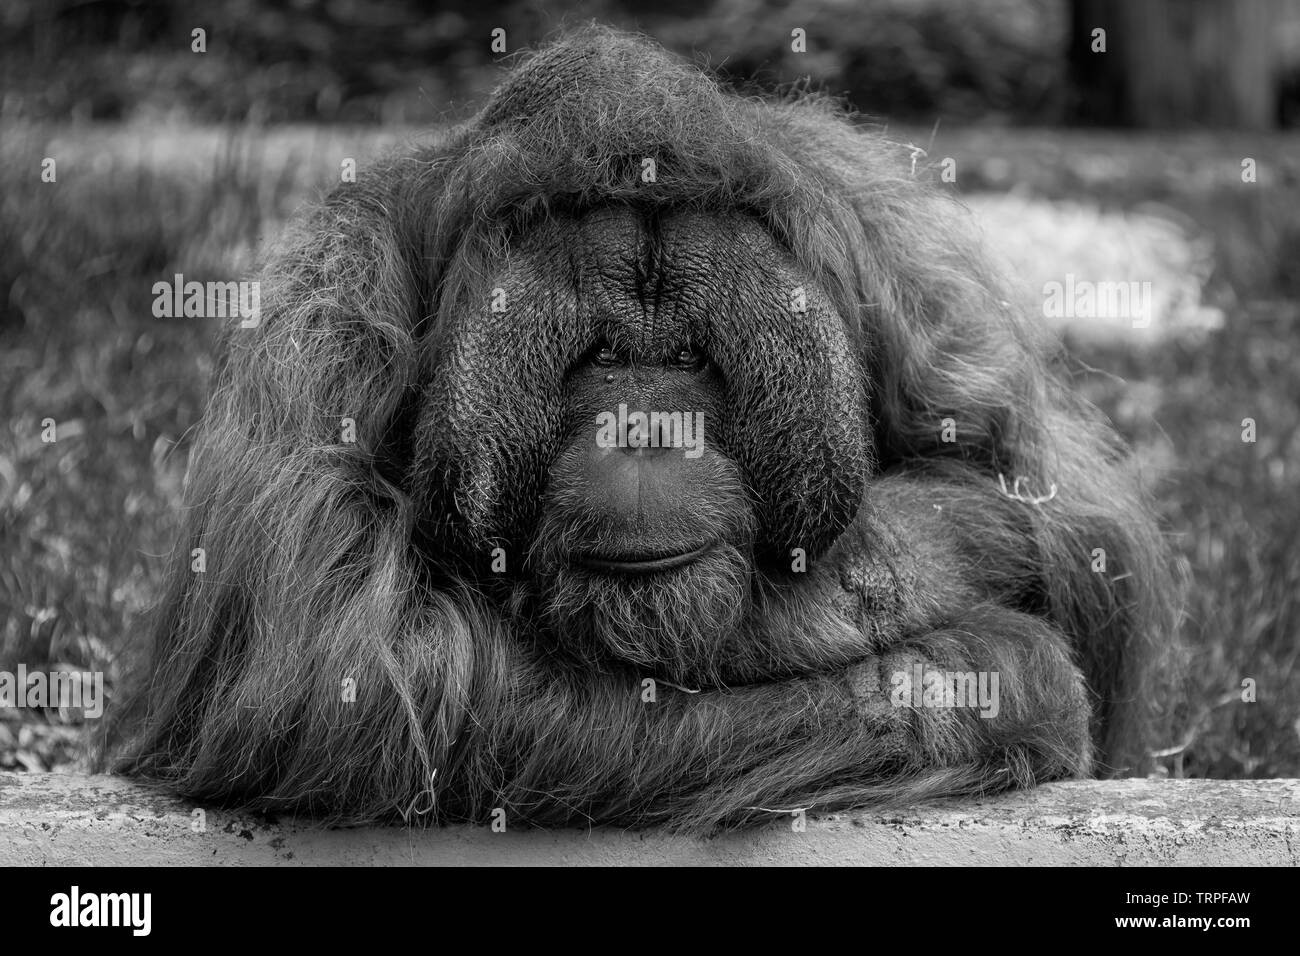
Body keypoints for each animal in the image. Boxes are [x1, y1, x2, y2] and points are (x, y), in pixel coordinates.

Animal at [110, 25, 1181, 832]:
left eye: (692, 360)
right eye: (601, 358)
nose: (643, 432)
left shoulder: (906, 265)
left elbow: (1047, 516)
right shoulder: (332, 305)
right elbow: (340, 666)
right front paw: (974, 675)